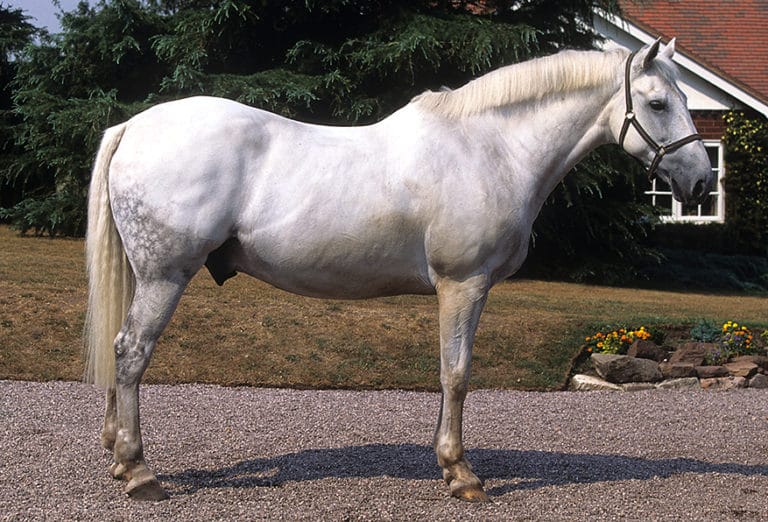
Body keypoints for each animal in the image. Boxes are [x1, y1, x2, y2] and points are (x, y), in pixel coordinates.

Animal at [84, 38, 711, 501]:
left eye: (682, 99)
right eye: (658, 103)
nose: (702, 183)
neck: (491, 148)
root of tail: (134, 126)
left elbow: (447, 374)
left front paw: (445, 461)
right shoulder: (463, 284)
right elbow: (457, 374)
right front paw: (462, 475)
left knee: (121, 349)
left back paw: (116, 456)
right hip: (166, 275)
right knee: (132, 352)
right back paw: (139, 472)